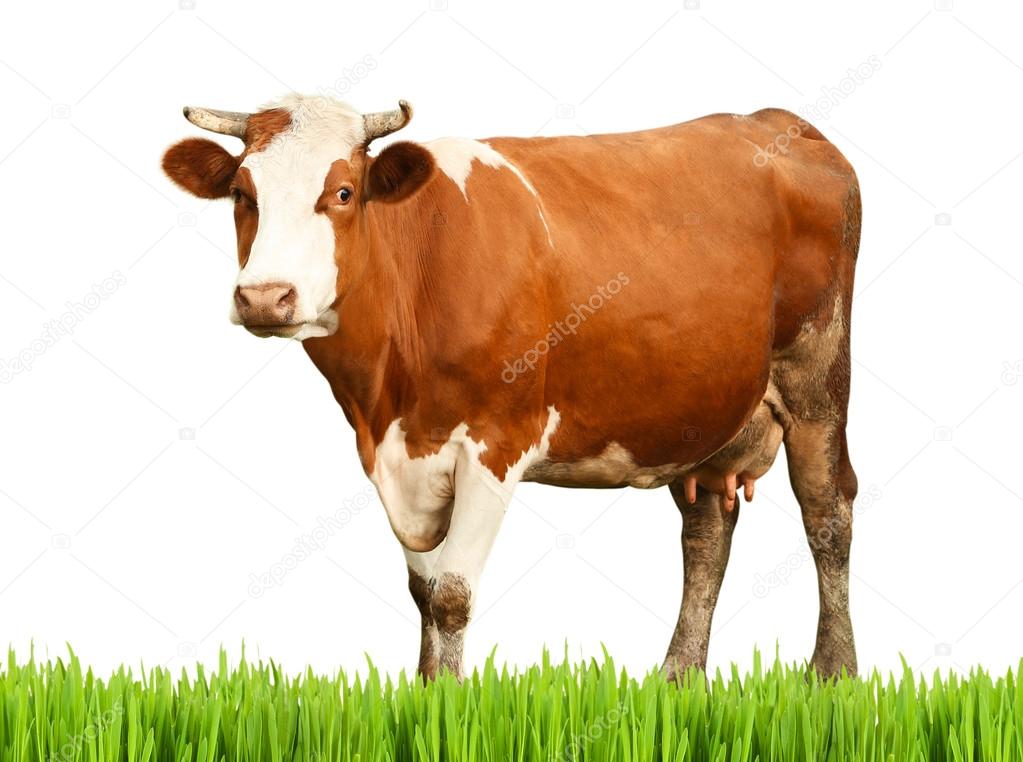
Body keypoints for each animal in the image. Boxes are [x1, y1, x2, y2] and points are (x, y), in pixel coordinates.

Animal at [162, 94, 862, 680]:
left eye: (342, 191)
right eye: (241, 194)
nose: (264, 297)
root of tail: (779, 121)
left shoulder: (495, 445)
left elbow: (451, 595)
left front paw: (448, 707)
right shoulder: (397, 458)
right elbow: (423, 592)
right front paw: (423, 695)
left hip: (818, 380)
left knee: (828, 514)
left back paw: (833, 672)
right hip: (698, 411)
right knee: (707, 532)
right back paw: (678, 677)